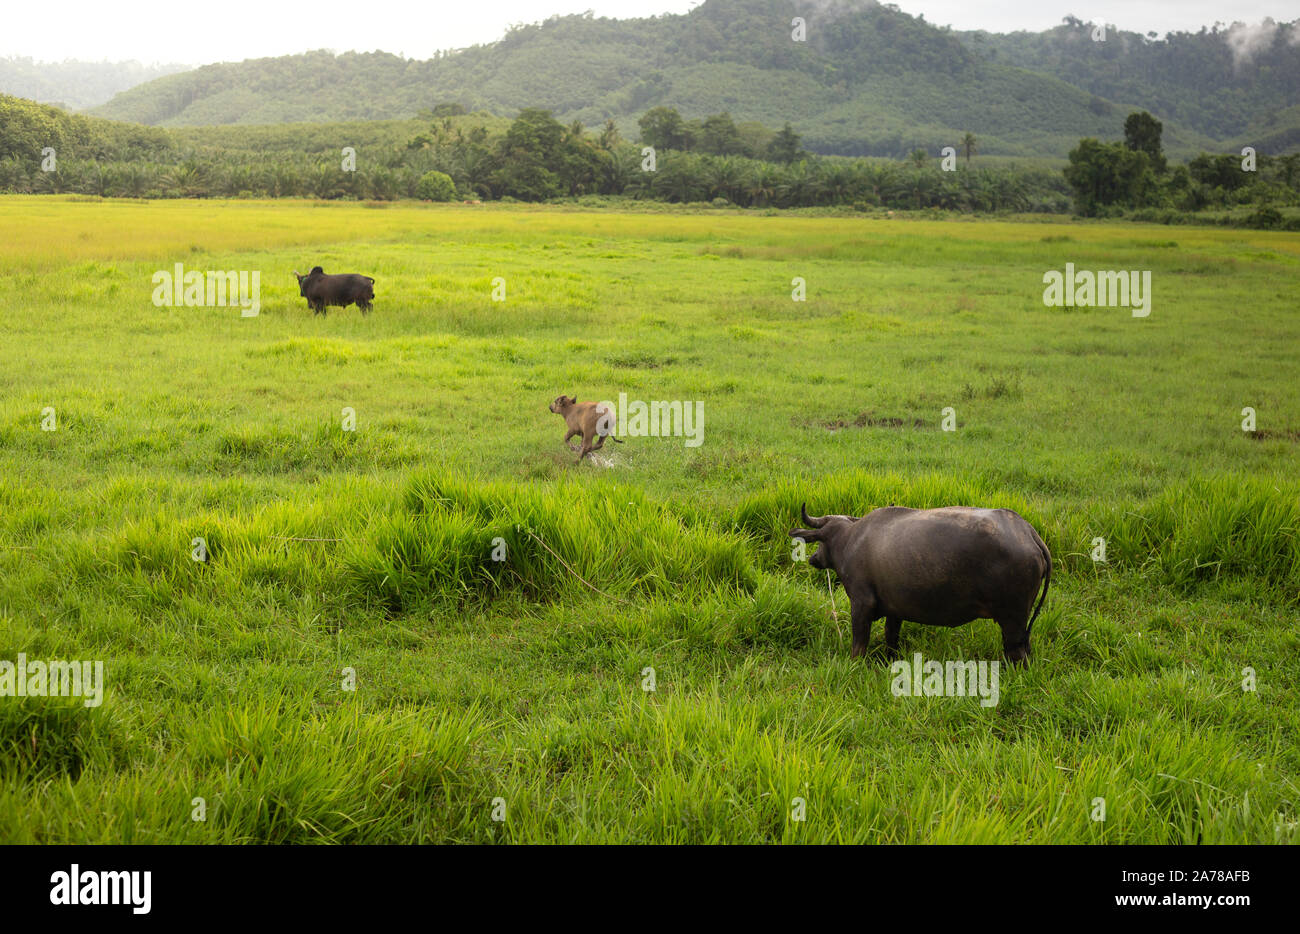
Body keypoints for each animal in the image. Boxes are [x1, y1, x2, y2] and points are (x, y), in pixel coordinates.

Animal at [790, 504, 1050, 663]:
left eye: (821, 541)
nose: (814, 558)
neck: (851, 540)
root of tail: (1027, 531)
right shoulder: (894, 611)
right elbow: (891, 637)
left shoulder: (861, 605)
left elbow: (859, 644)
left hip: (1012, 621)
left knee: (1016, 654)